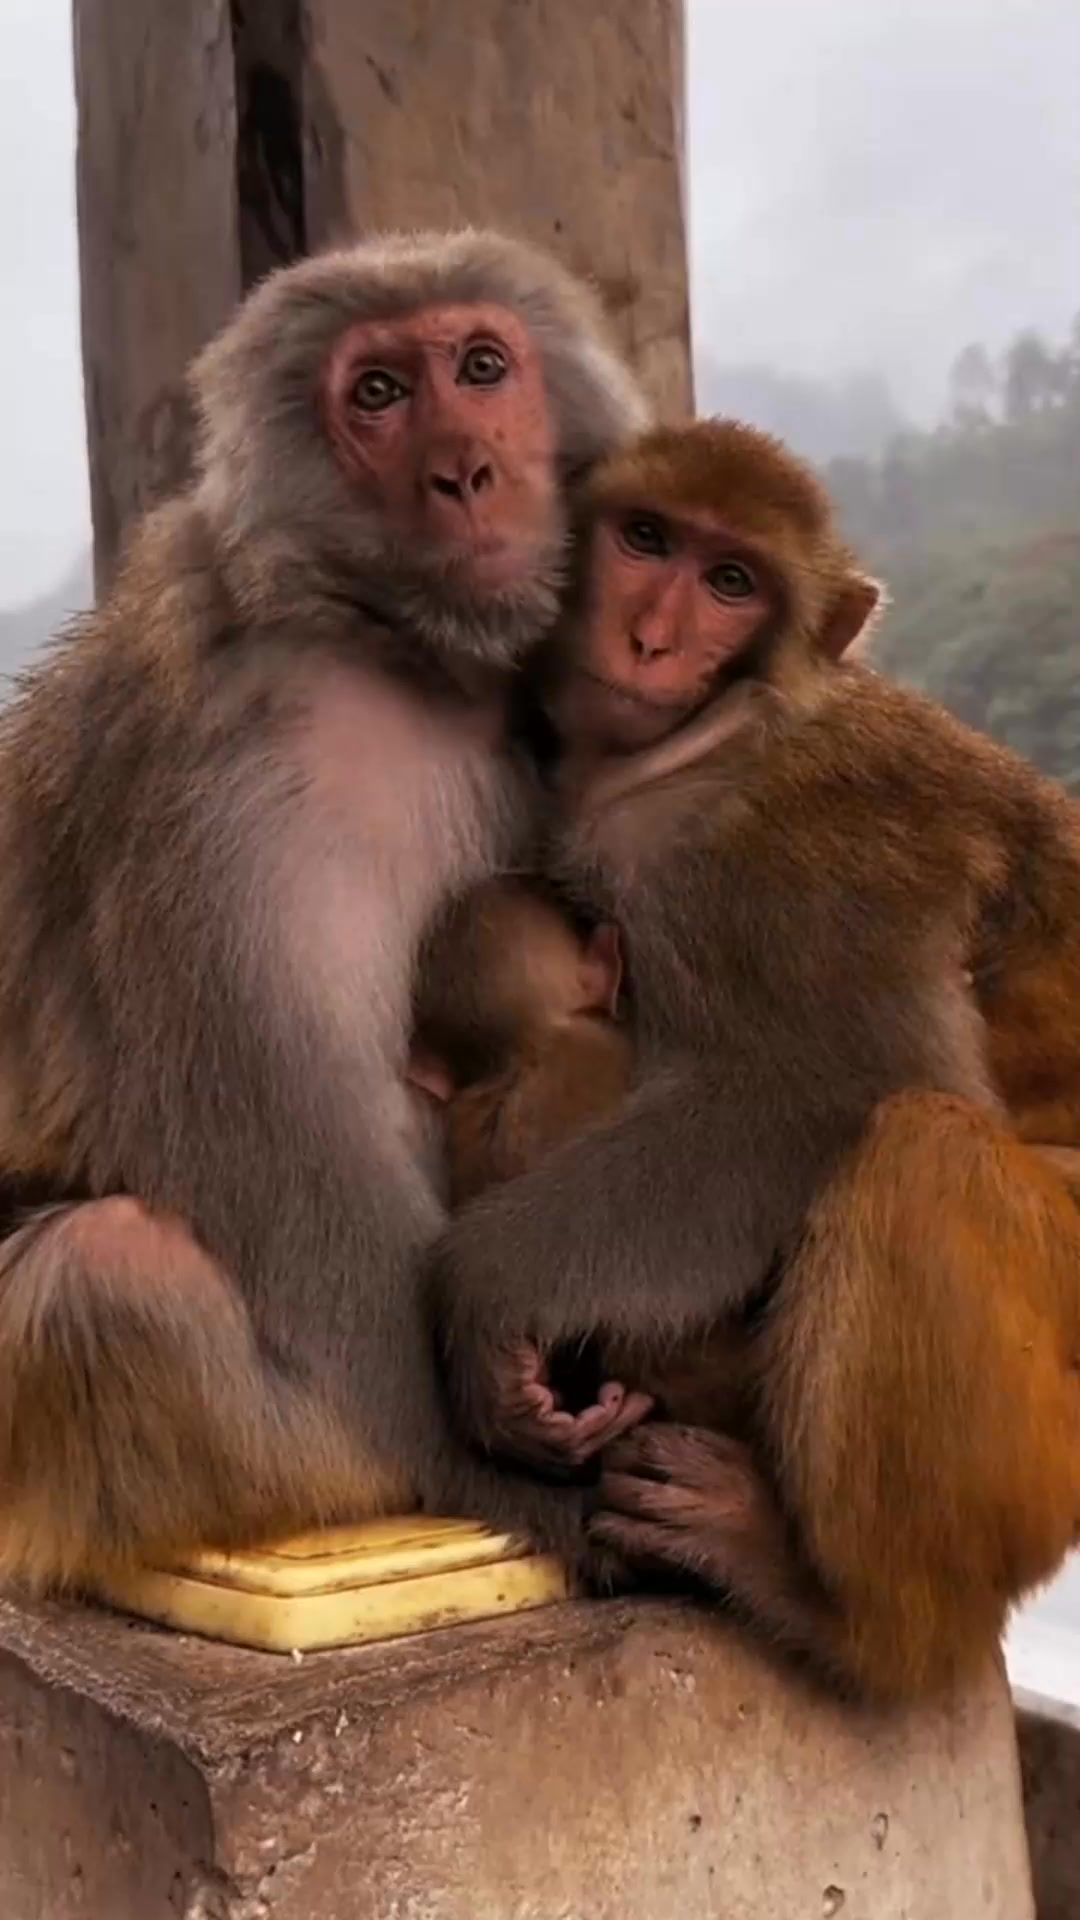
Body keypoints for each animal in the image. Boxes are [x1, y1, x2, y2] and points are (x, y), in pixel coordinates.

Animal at [0, 228, 657, 1595]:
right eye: (380, 395)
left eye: (480, 367)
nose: (467, 473)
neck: (392, 645)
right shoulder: (232, 770)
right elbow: (277, 1121)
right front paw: (518, 1474)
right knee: (106, 1279)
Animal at [429, 416, 1080, 1700]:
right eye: (647, 538)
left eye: (732, 582)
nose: (651, 636)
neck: (705, 743)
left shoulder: (790, 850)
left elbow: (833, 1080)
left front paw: (484, 1292)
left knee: (922, 1154)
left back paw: (855, 1616)